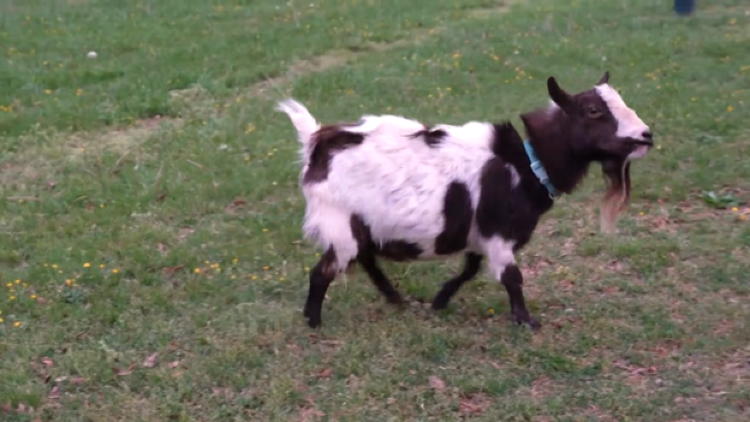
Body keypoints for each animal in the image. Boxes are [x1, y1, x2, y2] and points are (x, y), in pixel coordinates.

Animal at [277, 71, 653, 329]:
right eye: (592, 110)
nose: (646, 135)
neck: (527, 164)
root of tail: (316, 143)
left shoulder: (480, 233)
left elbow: (470, 269)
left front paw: (440, 301)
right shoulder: (499, 235)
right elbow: (512, 278)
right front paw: (527, 322)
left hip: (361, 226)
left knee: (365, 259)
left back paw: (395, 299)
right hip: (340, 225)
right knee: (324, 271)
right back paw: (314, 323)